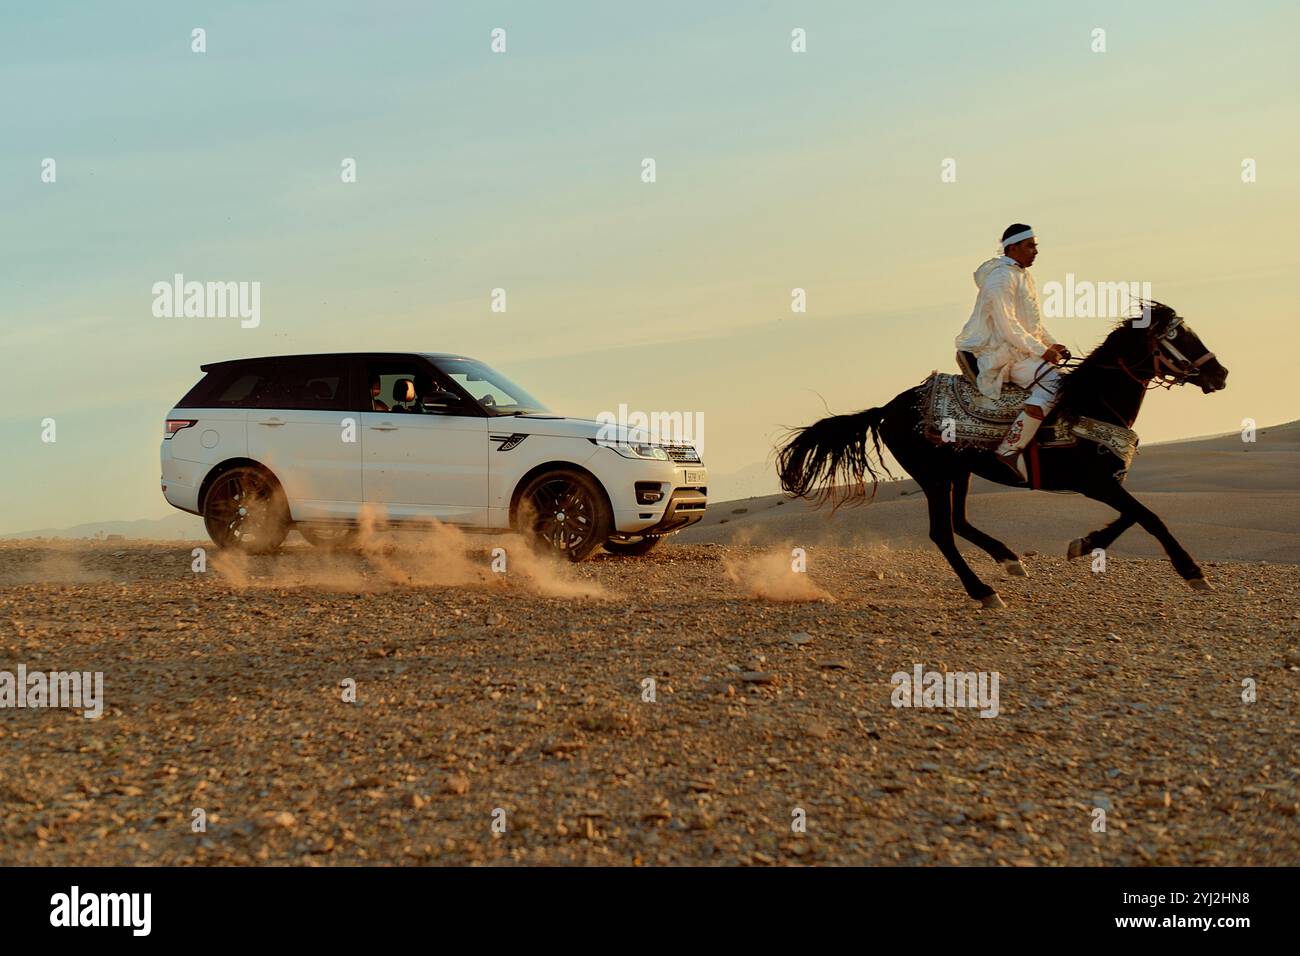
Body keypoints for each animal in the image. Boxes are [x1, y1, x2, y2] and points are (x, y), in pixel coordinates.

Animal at [775, 303, 1229, 607]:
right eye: (1178, 336)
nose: (1220, 374)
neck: (1090, 402)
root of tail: (887, 409)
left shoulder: (1105, 483)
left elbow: (1130, 517)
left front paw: (1083, 544)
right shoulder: (1092, 482)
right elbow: (1149, 517)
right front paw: (1192, 572)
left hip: (958, 474)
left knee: (959, 522)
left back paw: (1008, 559)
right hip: (933, 477)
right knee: (942, 533)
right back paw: (983, 591)